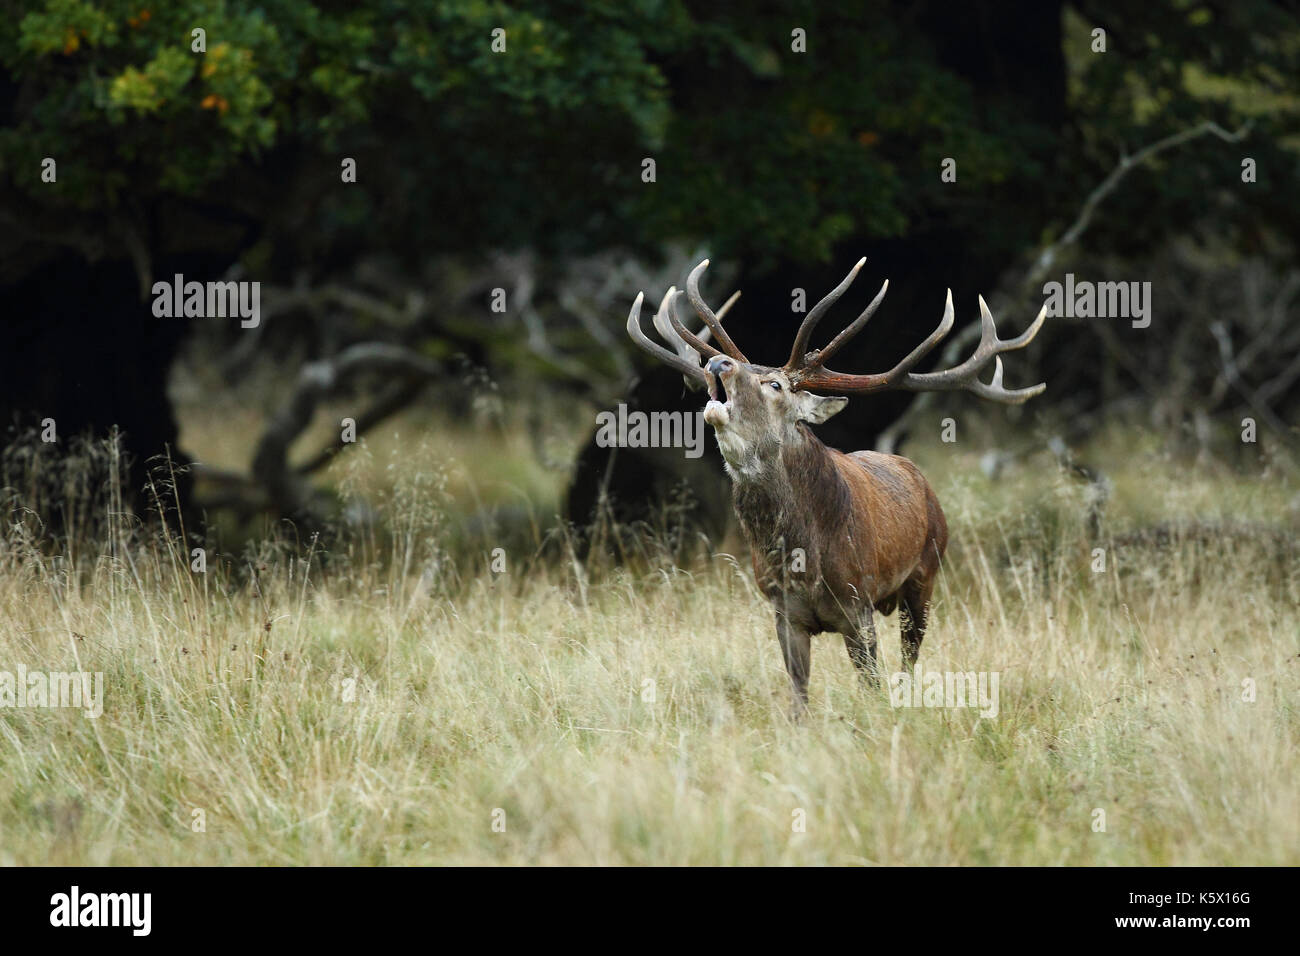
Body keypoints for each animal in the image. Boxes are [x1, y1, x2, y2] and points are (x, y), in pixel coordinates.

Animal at [625, 258, 1047, 714]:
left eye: (775, 384)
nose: (719, 363)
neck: (803, 557)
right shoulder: (783, 610)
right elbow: (798, 693)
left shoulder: (857, 603)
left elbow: (872, 685)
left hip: (927, 573)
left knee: (909, 658)